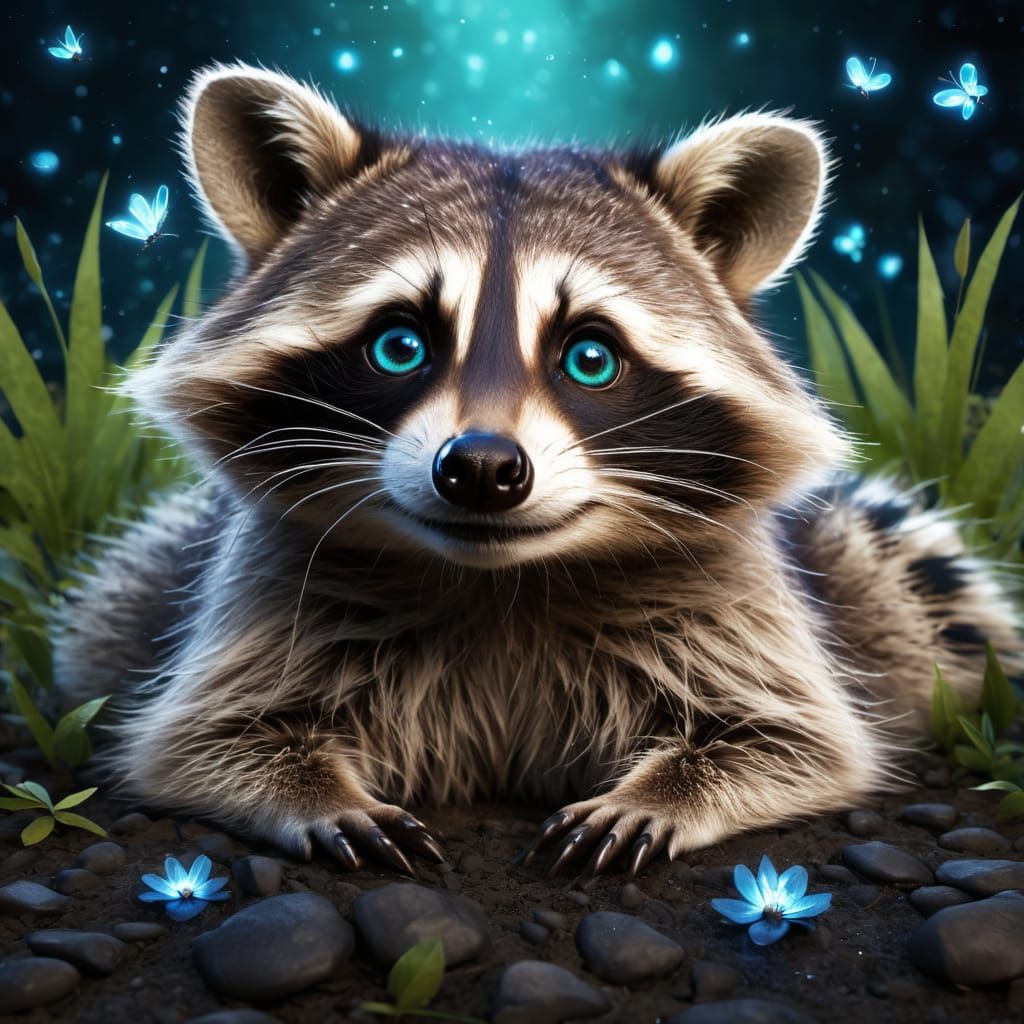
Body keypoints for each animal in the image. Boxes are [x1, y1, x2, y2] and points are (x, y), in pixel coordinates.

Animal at [55, 64, 1020, 877]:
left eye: (590, 357)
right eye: (399, 345)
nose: (481, 468)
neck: (498, 577)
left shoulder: (741, 613)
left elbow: (797, 739)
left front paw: (666, 794)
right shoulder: (263, 595)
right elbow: (203, 739)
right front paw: (312, 794)